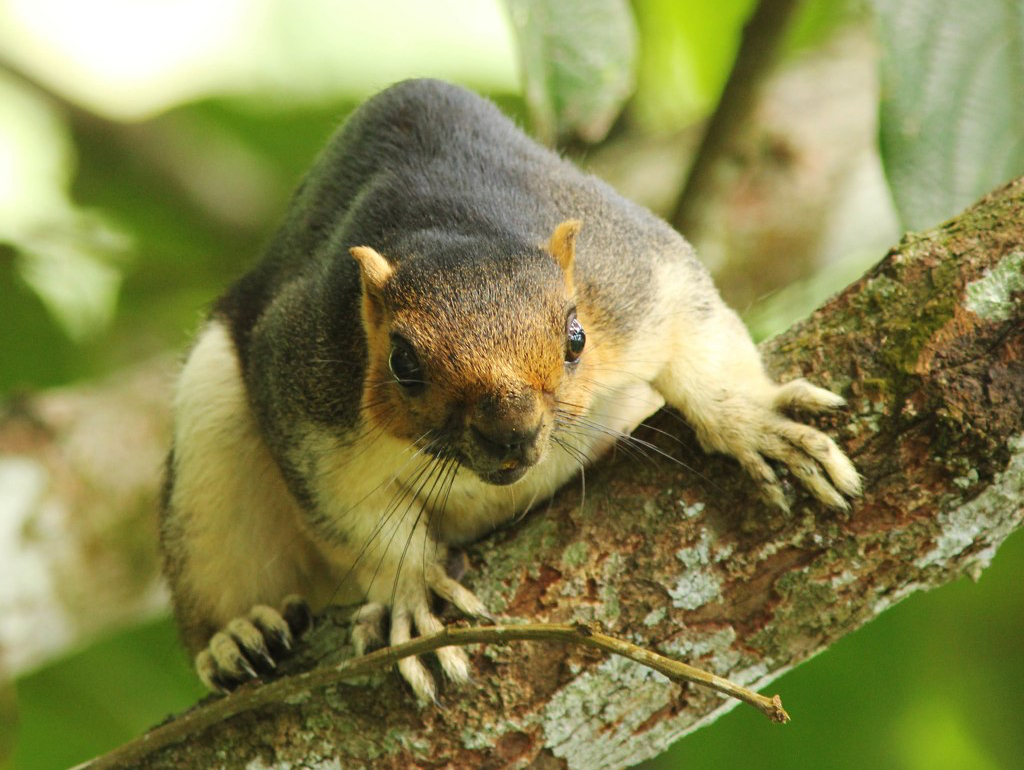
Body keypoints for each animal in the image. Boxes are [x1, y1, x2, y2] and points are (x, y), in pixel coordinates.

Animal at [159, 78, 860, 703]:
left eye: (576, 337)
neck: (452, 220)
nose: (513, 435)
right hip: (209, 446)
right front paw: (411, 590)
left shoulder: (635, 276)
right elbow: (359, 519)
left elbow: (698, 338)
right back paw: (238, 636)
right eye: (402, 363)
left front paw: (756, 425)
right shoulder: (305, 395)